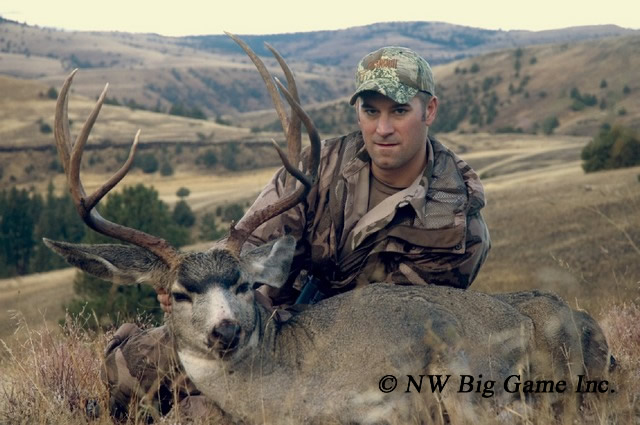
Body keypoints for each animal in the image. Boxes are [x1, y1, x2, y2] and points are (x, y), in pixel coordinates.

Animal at [43, 34, 612, 424]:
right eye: (178, 294)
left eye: (243, 284)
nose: (226, 330)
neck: (283, 382)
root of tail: (589, 328)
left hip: (491, 386)